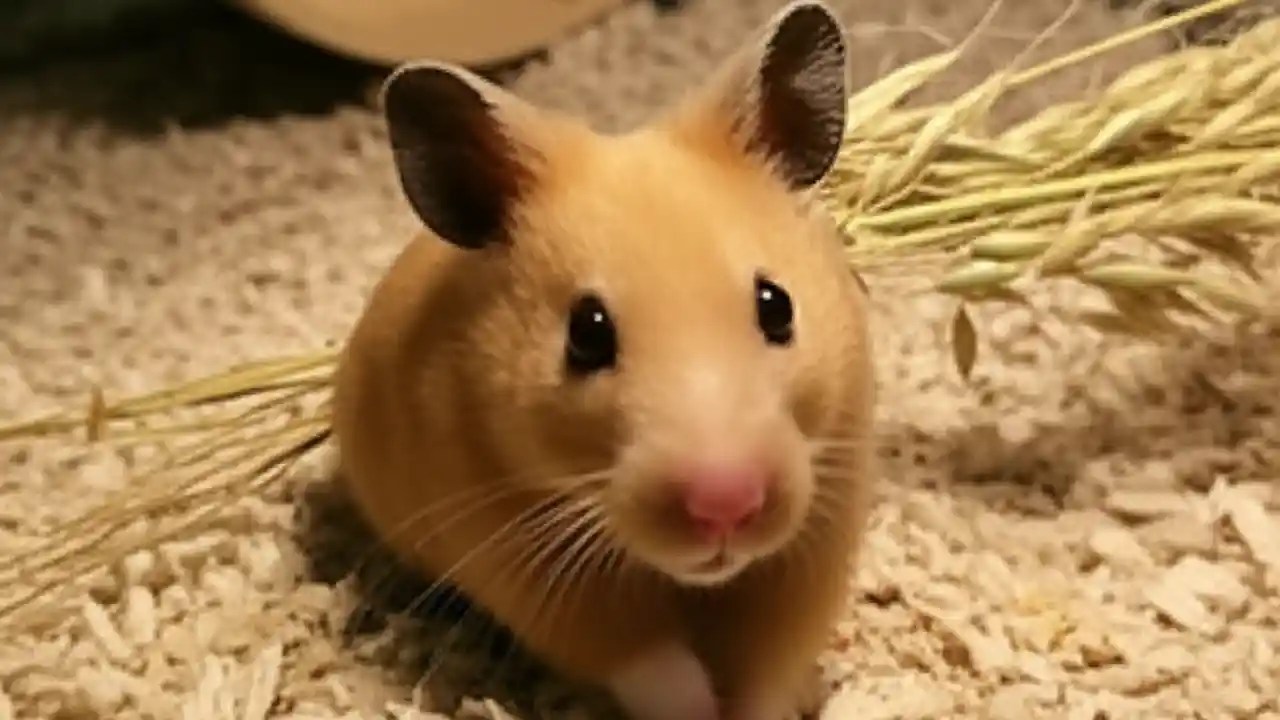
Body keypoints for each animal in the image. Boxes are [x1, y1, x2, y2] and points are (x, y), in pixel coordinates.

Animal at [332, 2, 876, 718]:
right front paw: (697, 706)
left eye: (776, 305)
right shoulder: (527, 562)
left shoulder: (814, 542)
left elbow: (765, 670)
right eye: (586, 333)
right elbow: (656, 667)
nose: (726, 506)